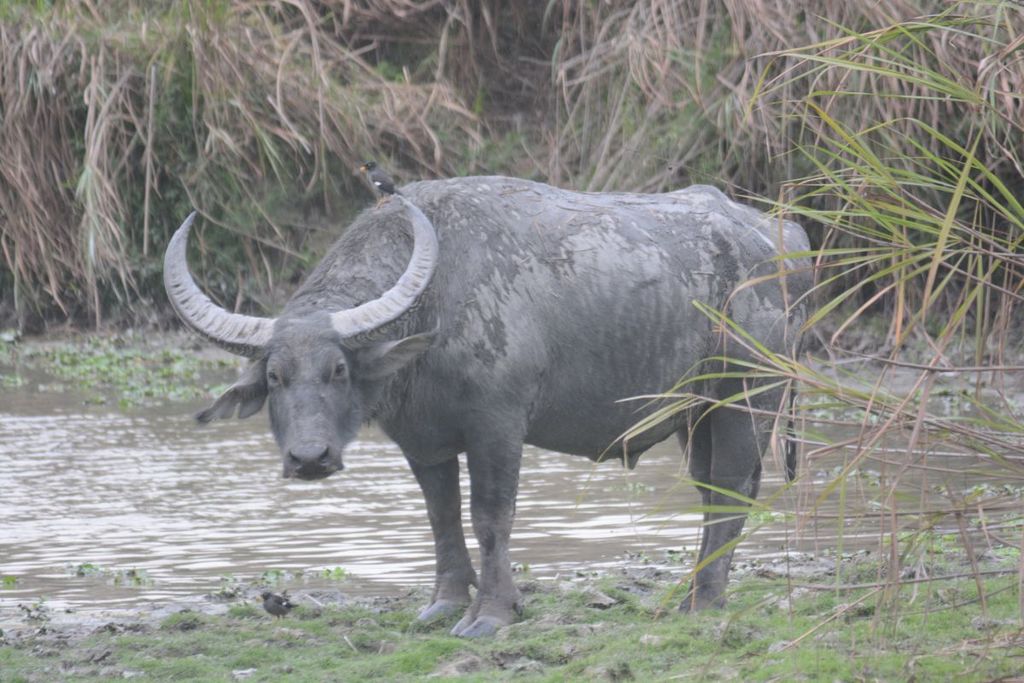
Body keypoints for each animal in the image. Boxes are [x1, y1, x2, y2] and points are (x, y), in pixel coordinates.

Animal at [163, 176, 811, 636]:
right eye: (274, 377)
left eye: (338, 370)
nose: (308, 459)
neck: (433, 305)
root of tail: (782, 239)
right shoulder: (422, 442)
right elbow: (442, 517)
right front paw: (444, 604)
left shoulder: (497, 426)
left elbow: (490, 517)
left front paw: (490, 615)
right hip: (693, 414)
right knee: (711, 490)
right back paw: (695, 596)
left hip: (747, 395)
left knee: (732, 488)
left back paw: (705, 603)